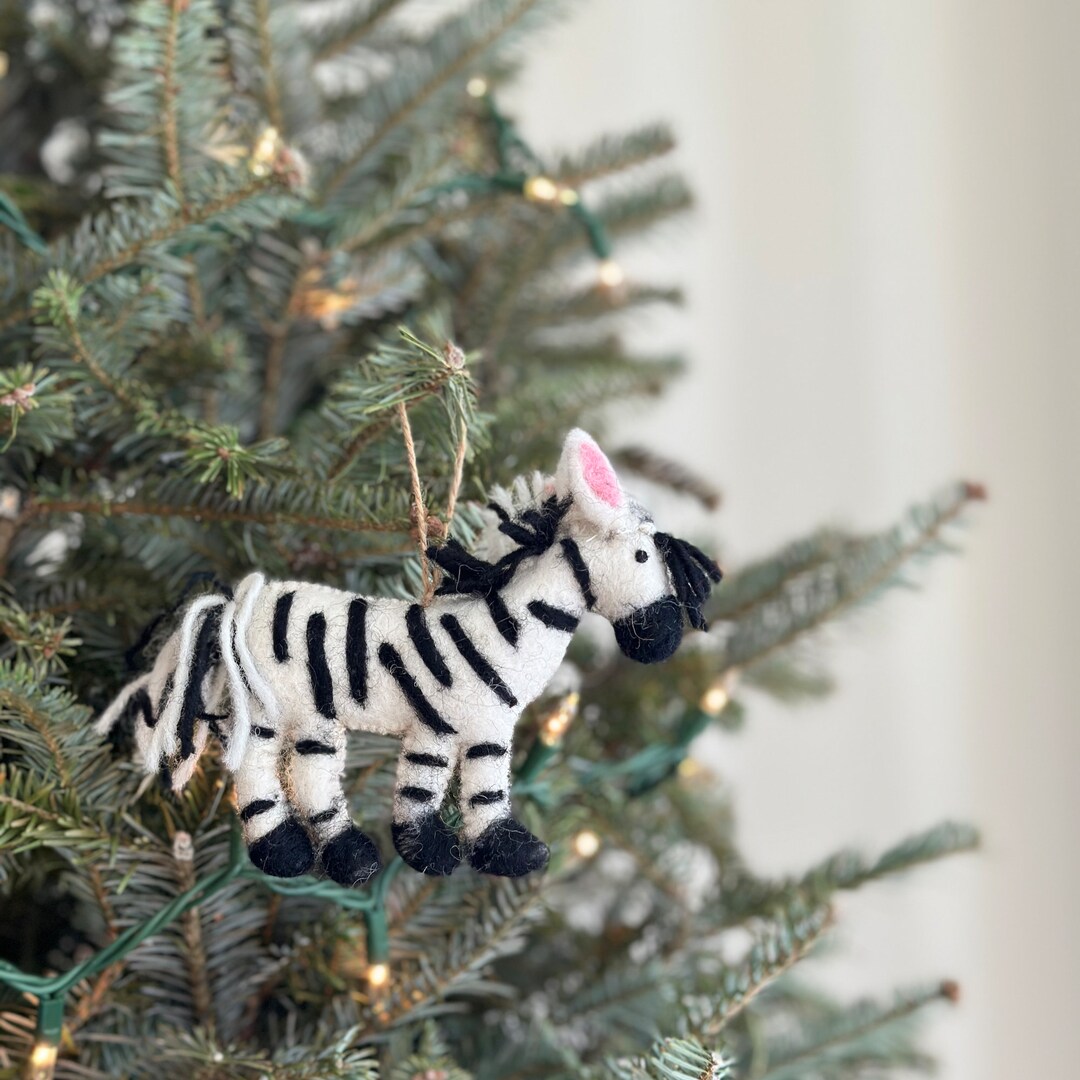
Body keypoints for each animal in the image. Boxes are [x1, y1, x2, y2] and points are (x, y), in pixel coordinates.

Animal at [96, 430, 722, 885]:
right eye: (642, 556)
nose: (663, 643)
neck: (507, 631)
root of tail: (244, 599)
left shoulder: (487, 729)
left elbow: (486, 787)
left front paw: (506, 852)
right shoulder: (438, 724)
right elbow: (423, 788)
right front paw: (428, 852)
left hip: (308, 715)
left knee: (309, 774)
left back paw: (343, 854)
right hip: (274, 707)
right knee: (259, 772)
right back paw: (291, 852)